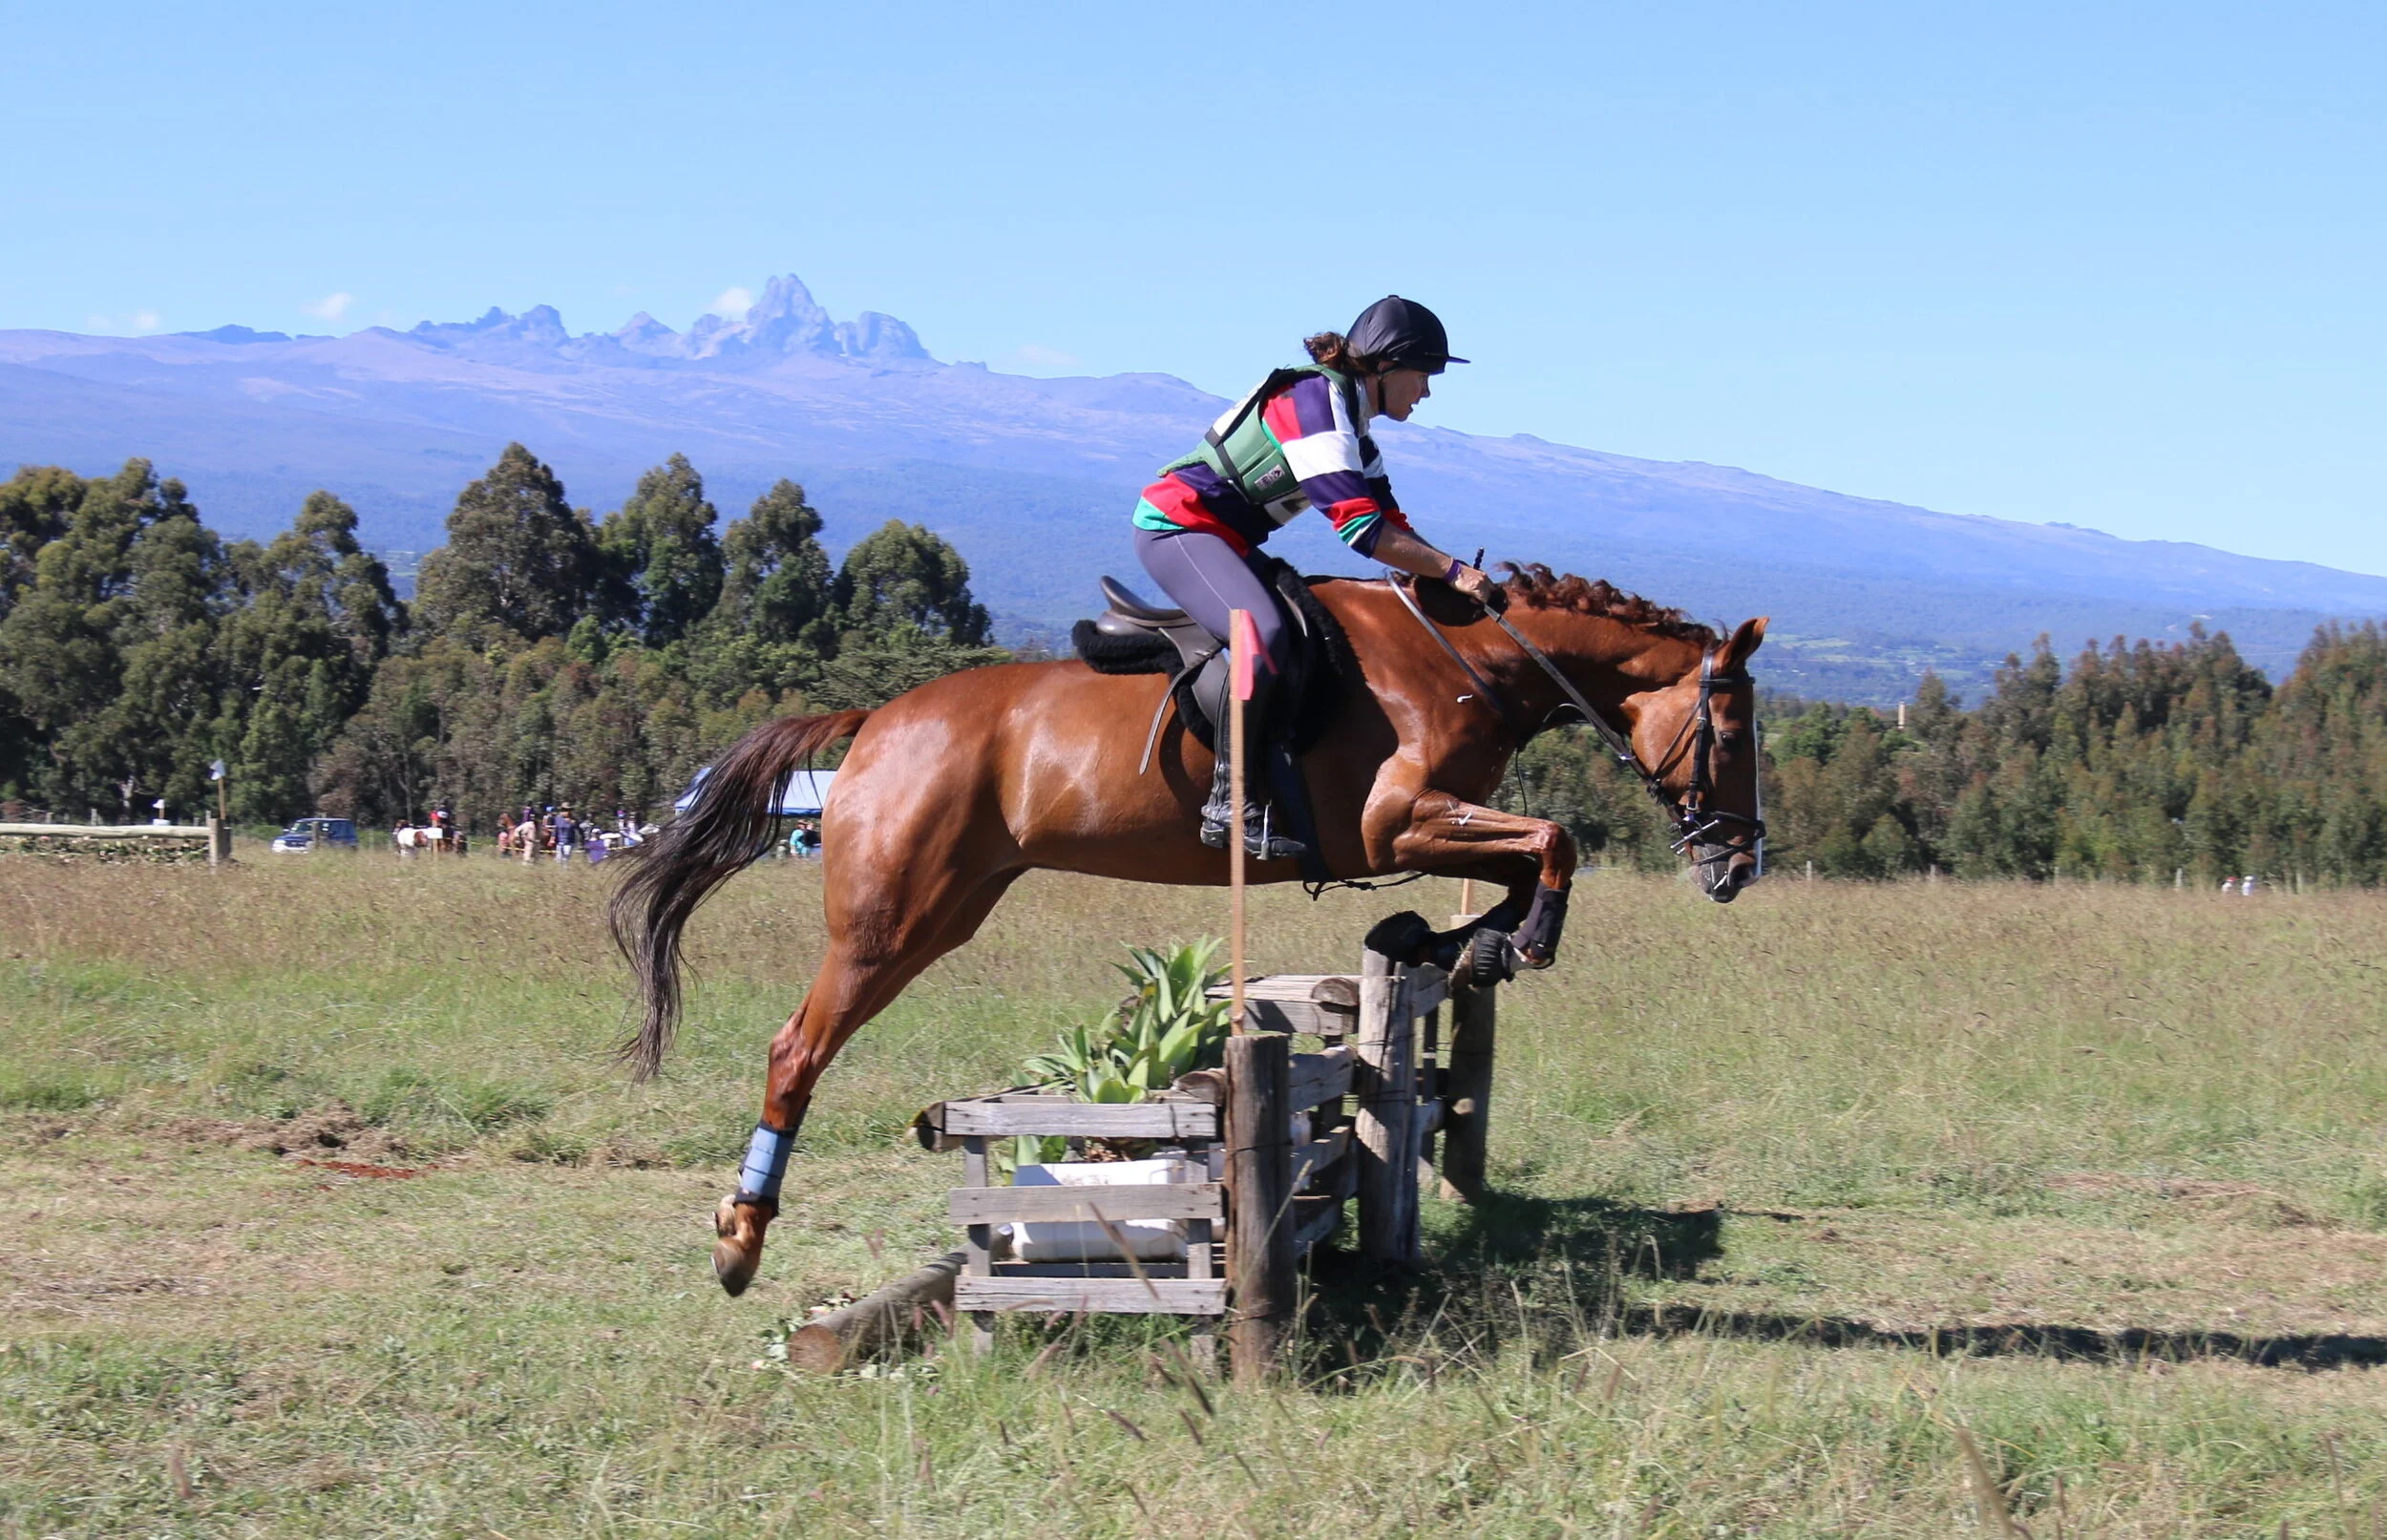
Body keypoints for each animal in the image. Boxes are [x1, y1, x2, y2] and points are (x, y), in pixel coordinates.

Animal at [612, 565, 1769, 1295]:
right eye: (1730, 728)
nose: (1739, 865)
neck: (1463, 657)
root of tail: (873, 723)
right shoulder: (1391, 820)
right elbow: (1554, 840)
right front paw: (1514, 940)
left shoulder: (1417, 829)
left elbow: (1524, 858)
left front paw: (1455, 942)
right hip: (887, 923)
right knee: (795, 1049)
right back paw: (740, 1238)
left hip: (951, 905)